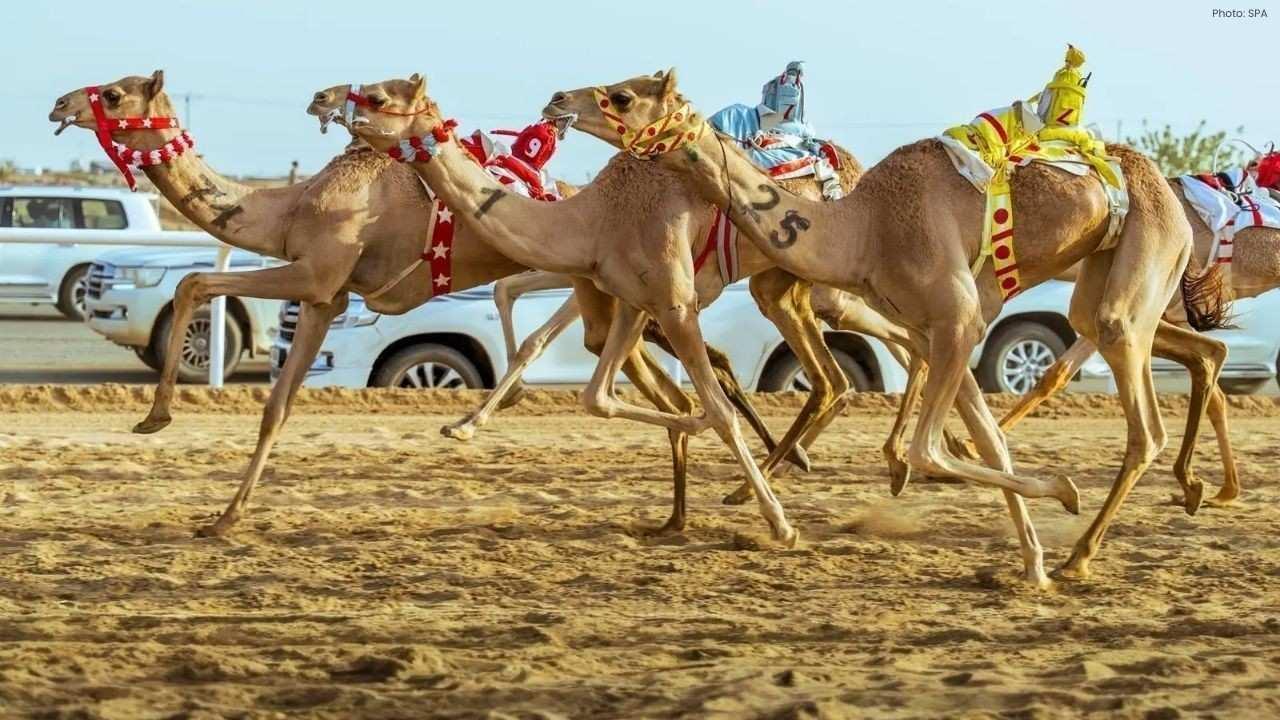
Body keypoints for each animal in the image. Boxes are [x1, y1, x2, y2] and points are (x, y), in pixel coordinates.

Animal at [48, 73, 781, 538]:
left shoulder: (315, 274)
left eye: (112, 92)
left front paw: (155, 418)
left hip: (599, 288)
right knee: (659, 371)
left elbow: (194, 283)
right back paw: (687, 507)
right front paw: (224, 517)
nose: (58, 104)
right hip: (607, 294)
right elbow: (277, 405)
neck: (287, 207)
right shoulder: (326, 300)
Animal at [542, 68, 1228, 582]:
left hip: (1139, 267)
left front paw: (1060, 491)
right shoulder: (937, 328)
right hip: (1099, 277)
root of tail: (1170, 186)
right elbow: (986, 439)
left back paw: (1086, 551)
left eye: (623, 94)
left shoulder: (955, 319)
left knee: (1143, 414)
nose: (556, 100)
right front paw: (1031, 560)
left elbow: (934, 449)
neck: (861, 228)